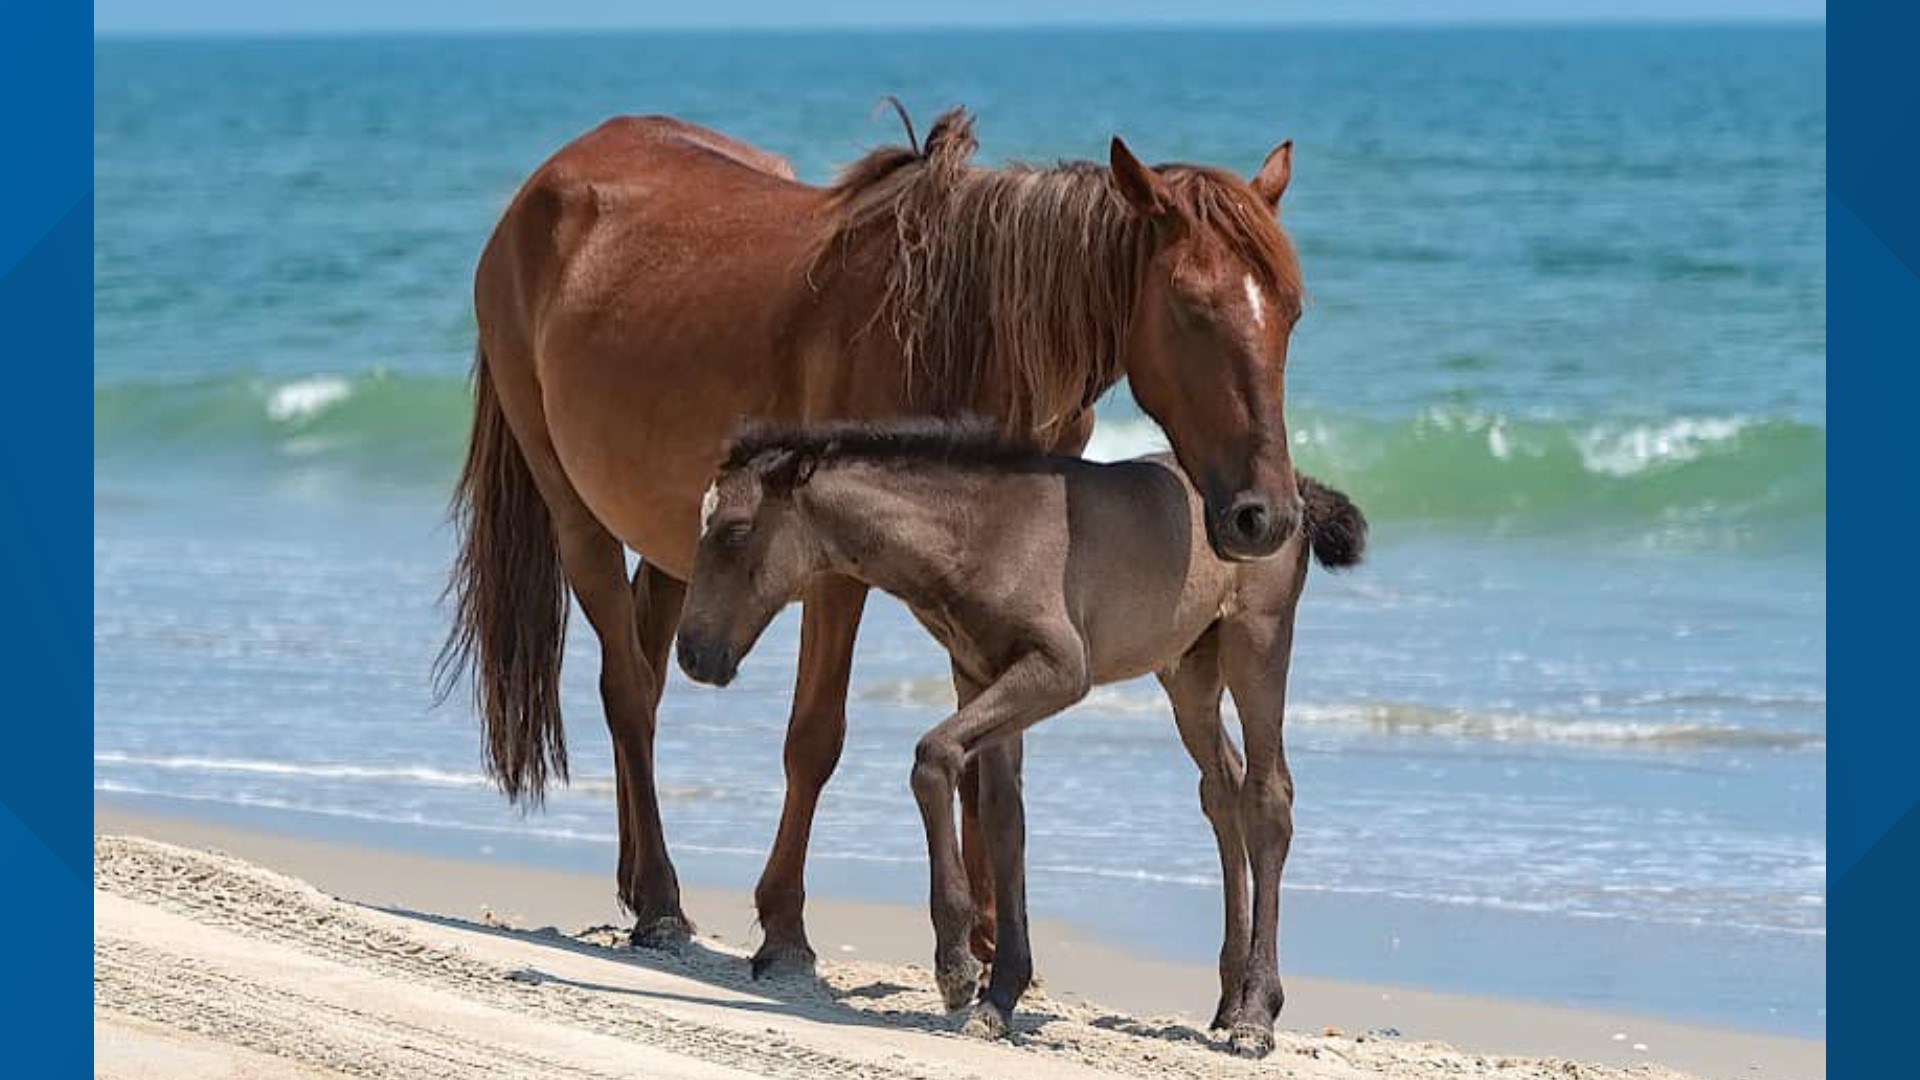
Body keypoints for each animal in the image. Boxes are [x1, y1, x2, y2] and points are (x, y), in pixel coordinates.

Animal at [440, 106, 1310, 978]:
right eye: (1190, 306)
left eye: (1294, 310)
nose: (1266, 516)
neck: (963, 328)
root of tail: (549, 181)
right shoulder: (835, 569)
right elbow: (816, 738)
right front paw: (786, 930)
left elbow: (986, 758)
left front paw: (986, 937)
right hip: (576, 514)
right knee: (625, 689)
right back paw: (659, 900)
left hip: (668, 546)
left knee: (646, 682)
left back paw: (636, 882)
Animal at [675, 419, 1366, 1056]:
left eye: (734, 530)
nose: (692, 654)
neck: (978, 534)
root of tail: (1295, 491)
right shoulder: (980, 672)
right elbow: (1002, 813)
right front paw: (998, 996)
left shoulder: (1059, 670)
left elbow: (933, 757)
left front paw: (956, 970)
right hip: (1187, 668)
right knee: (1221, 786)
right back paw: (1226, 998)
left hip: (1257, 642)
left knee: (1267, 797)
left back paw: (1256, 1013)